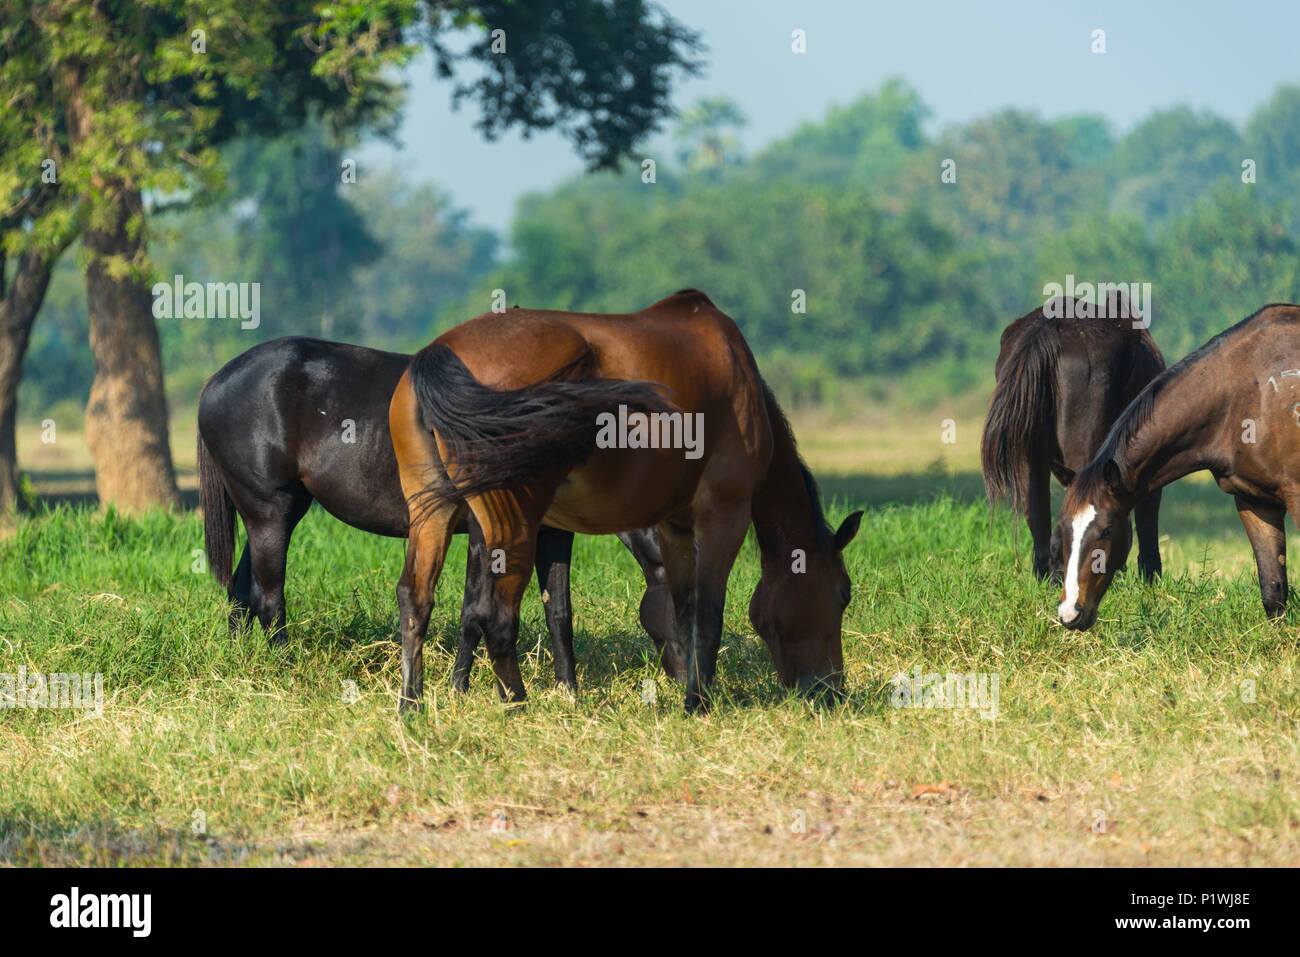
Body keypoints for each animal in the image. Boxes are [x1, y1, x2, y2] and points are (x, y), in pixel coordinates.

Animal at [195, 336, 682, 688]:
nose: (692, 685)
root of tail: (217, 378)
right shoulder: (488, 533)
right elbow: (475, 612)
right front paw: (459, 689)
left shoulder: (552, 534)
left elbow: (558, 611)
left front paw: (570, 695)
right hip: (269, 511)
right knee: (269, 598)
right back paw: (285, 668)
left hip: (280, 510)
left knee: (241, 591)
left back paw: (243, 663)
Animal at [388, 289, 863, 714]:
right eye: (843, 594)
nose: (830, 690)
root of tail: (440, 353)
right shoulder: (724, 515)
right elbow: (709, 616)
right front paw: (699, 704)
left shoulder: (674, 527)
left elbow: (684, 613)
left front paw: (690, 695)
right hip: (514, 524)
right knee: (496, 616)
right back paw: (517, 706)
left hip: (435, 514)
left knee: (416, 599)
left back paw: (411, 707)